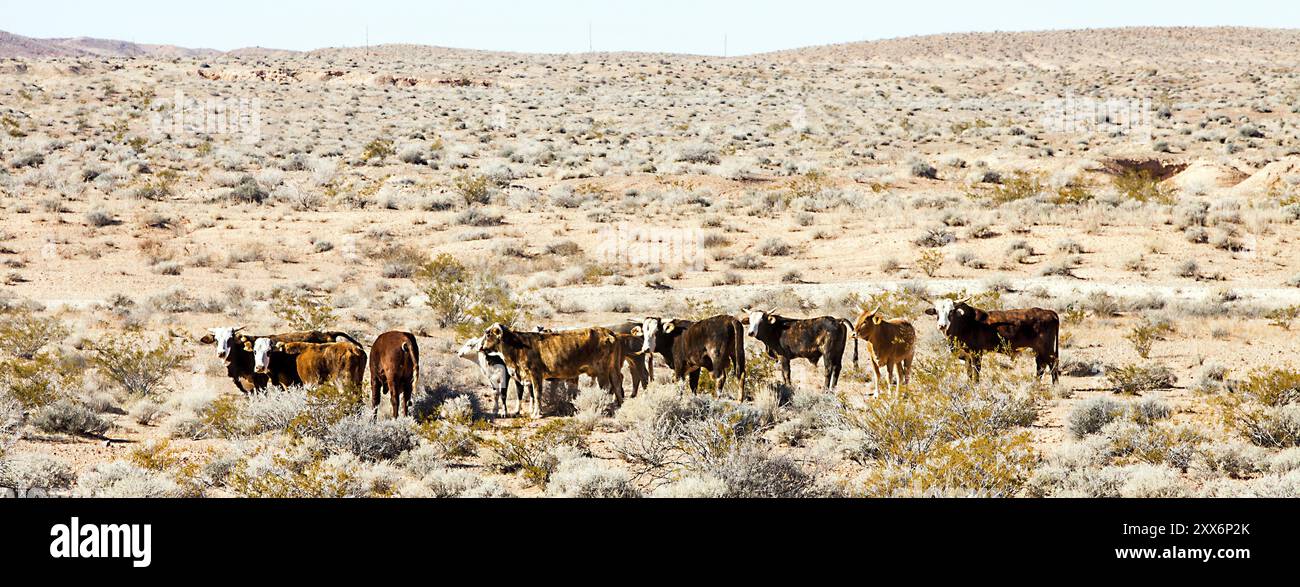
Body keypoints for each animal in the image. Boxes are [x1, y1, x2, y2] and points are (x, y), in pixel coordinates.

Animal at [480, 324, 624, 419]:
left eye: (488, 334)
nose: (481, 347)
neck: (517, 347)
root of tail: (608, 332)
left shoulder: (535, 374)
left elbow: (537, 394)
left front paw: (537, 414)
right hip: (613, 369)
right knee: (617, 386)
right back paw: (620, 407)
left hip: (602, 371)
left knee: (607, 389)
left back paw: (605, 407)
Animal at [924, 297, 1060, 383]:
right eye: (936, 312)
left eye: (951, 311)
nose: (942, 325)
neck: (964, 323)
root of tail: (1049, 312)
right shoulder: (967, 356)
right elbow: (969, 373)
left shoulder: (977, 353)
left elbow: (976, 372)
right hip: (1038, 349)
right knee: (1041, 365)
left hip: (1046, 348)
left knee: (1052, 363)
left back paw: (1055, 386)